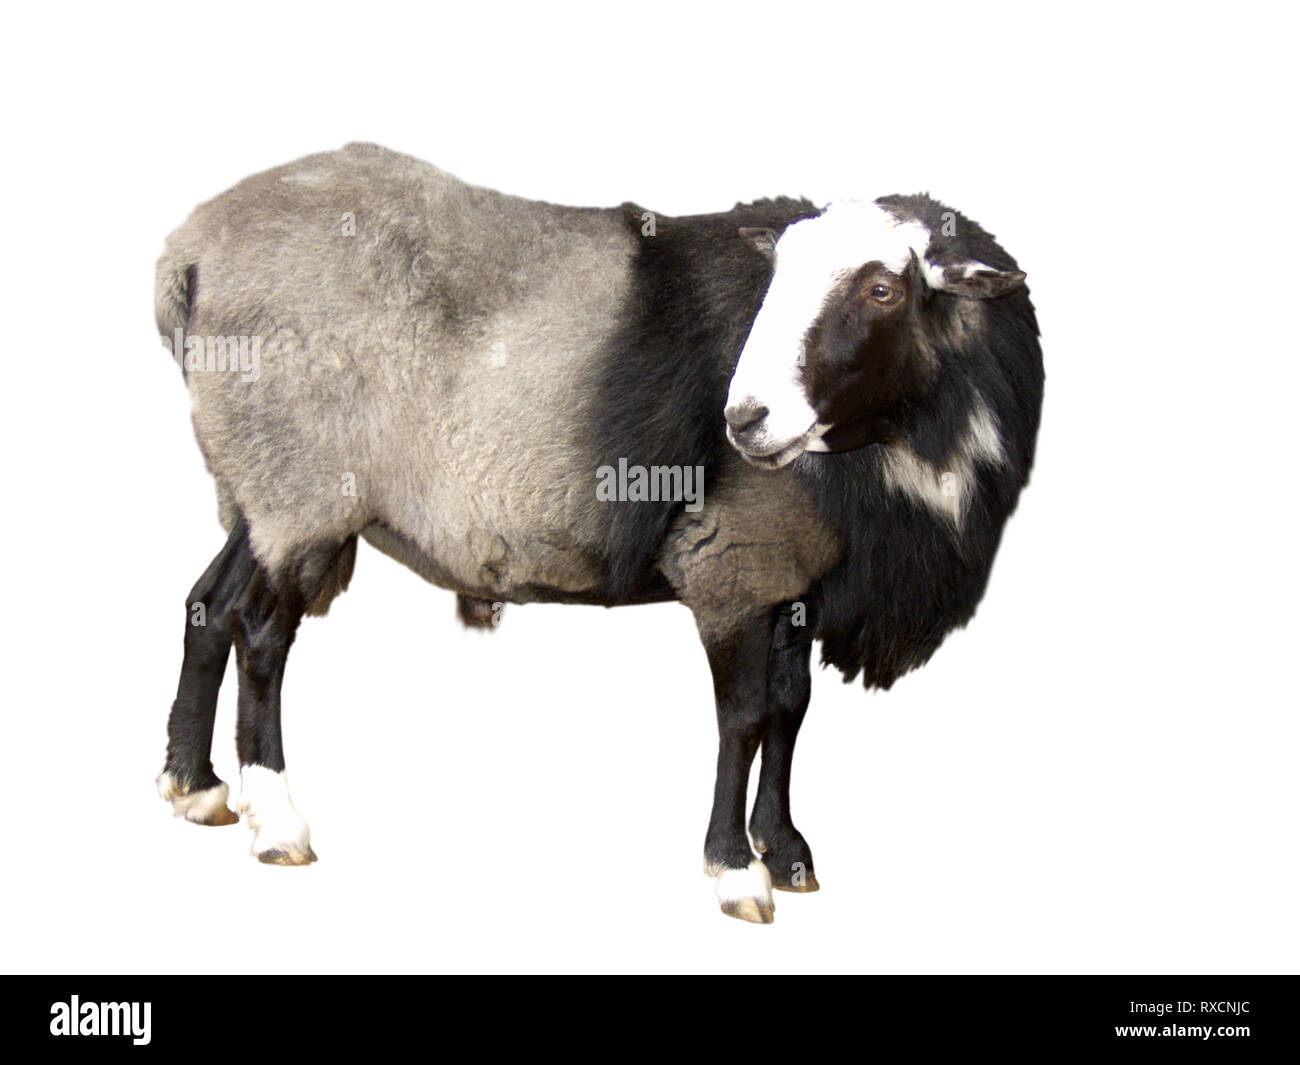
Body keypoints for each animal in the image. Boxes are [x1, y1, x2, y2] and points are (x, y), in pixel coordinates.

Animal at [154, 142, 1043, 923]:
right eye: (776, 283)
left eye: (883, 291)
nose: (746, 420)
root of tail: (186, 255)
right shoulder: (731, 560)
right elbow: (745, 716)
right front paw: (735, 870)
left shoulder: (793, 572)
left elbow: (791, 708)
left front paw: (787, 850)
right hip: (299, 489)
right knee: (261, 631)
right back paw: (276, 820)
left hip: (260, 488)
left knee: (209, 603)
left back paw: (197, 787)